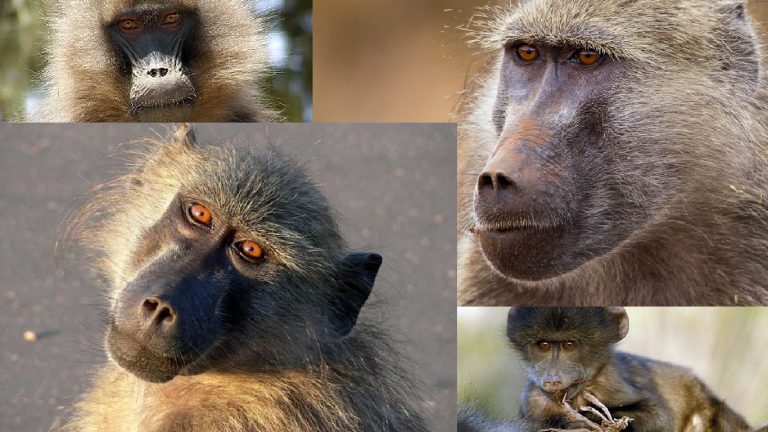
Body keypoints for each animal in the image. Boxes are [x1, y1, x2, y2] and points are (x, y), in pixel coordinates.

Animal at [458, 307, 762, 432]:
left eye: (568, 345)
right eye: (542, 345)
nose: (552, 377)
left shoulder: (611, 382)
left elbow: (659, 416)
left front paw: (587, 420)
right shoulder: (531, 401)